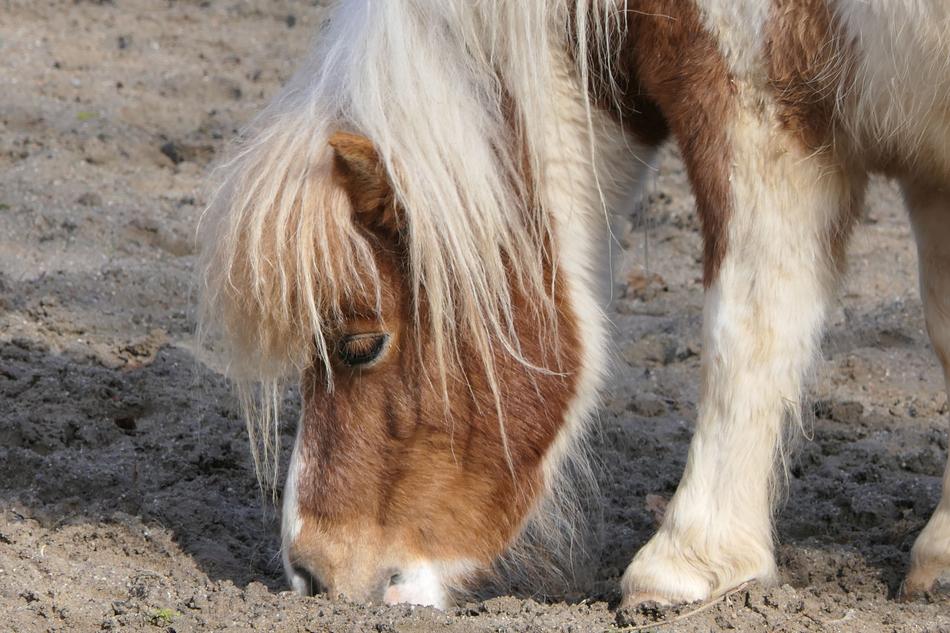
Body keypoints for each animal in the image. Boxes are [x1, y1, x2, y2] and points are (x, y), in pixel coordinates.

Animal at [199, 0, 950, 609]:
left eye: (360, 342)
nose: (311, 575)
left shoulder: (759, 110)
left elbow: (749, 325)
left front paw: (686, 562)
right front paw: (941, 558)